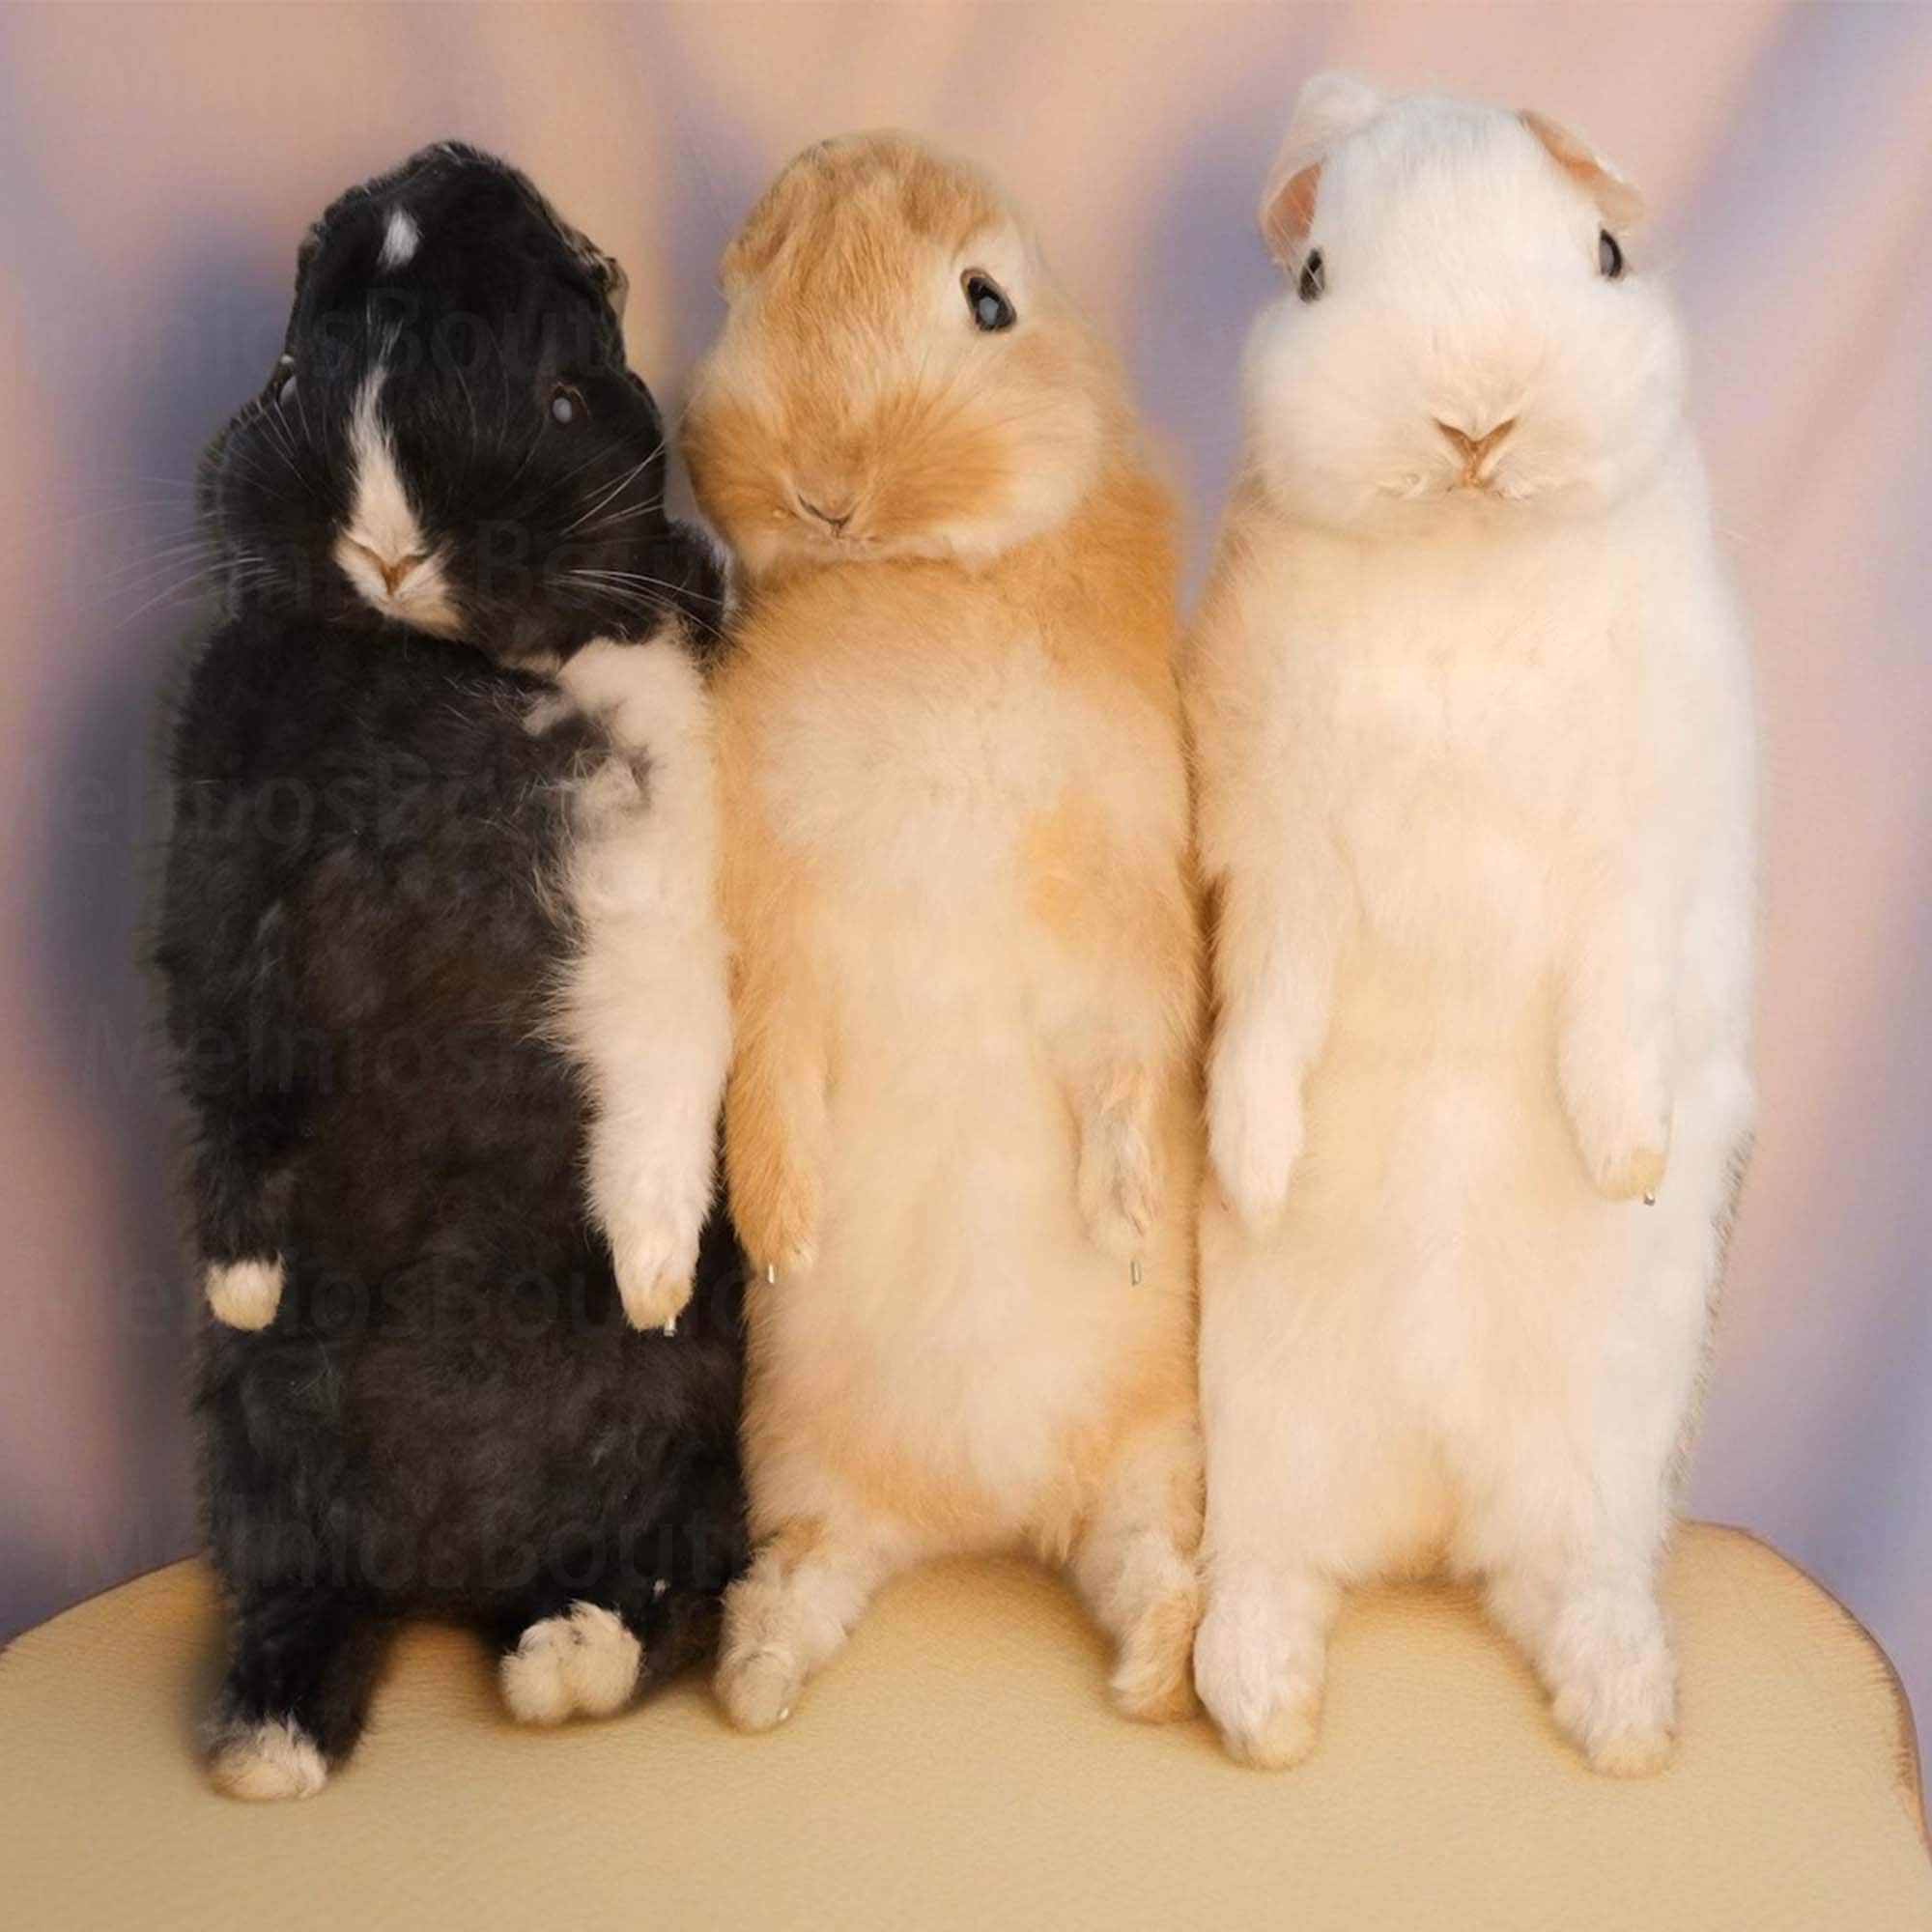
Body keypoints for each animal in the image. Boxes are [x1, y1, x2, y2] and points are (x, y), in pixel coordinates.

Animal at [154, 143, 747, 1799]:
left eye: (559, 395)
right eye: (295, 371)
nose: (386, 549)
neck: (434, 663)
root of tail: (446, 1559)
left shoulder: (650, 829)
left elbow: (666, 1055)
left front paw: (655, 1273)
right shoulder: (227, 850)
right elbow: (231, 1056)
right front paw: (238, 1277)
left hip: (685, 1453)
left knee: (641, 1590)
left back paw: (564, 1662)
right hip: (258, 1455)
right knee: (307, 1597)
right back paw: (269, 1745)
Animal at [680, 132, 1206, 1731]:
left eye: (987, 302)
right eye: (742, 303)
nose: (826, 489)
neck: (915, 579)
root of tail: (982, 1510)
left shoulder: (1122, 926)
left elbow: (1119, 1067)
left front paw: (1127, 1216)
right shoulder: (777, 950)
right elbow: (766, 1081)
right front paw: (782, 1231)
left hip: (1158, 1453)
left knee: (1152, 1560)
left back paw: (1159, 1676)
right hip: (796, 1475)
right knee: (812, 1575)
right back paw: (756, 1682)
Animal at [1185, 76, 1758, 1776]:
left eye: (1606, 254)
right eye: (1315, 279)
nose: (1475, 424)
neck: (1465, 552)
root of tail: (1434, 1498)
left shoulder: (1637, 853)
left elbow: (1615, 1011)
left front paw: (1623, 1156)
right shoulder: (1278, 862)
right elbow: (1270, 1012)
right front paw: (1255, 1172)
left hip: (1608, 1444)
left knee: (1570, 1578)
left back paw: (1629, 1718)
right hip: (1262, 1433)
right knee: (1270, 1570)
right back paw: (1262, 1705)